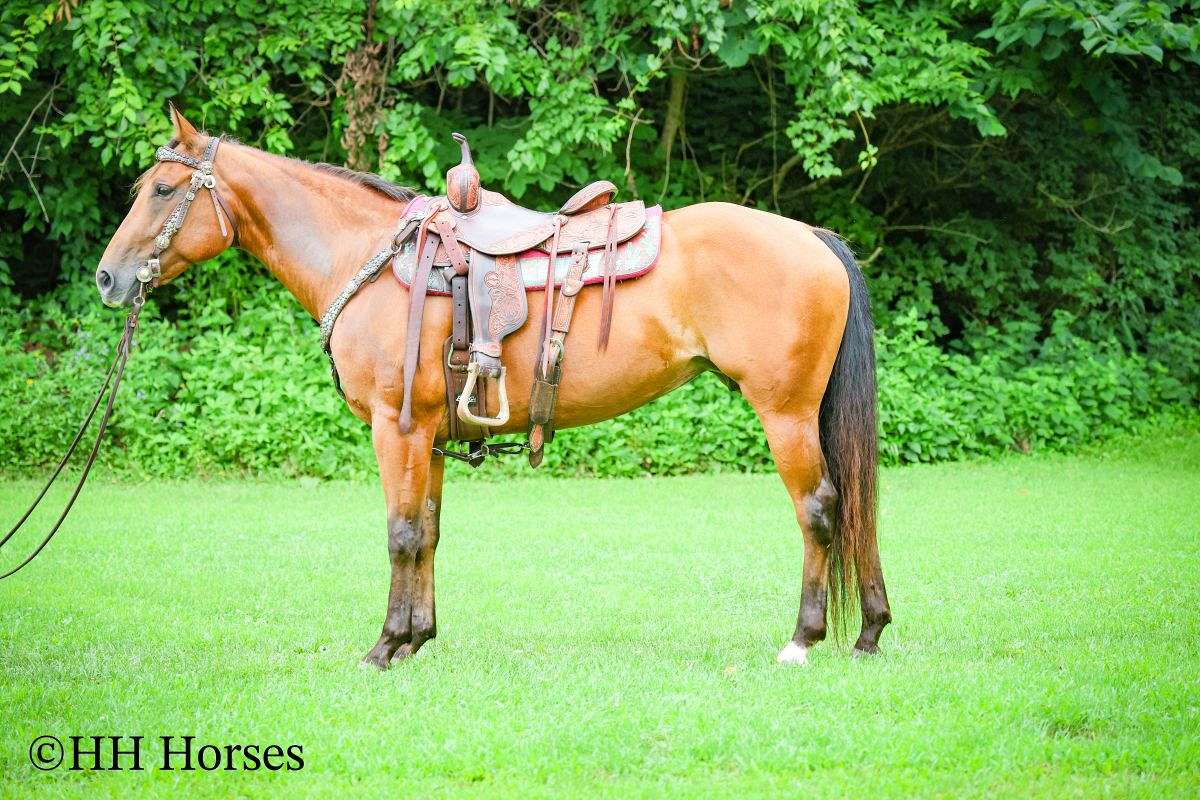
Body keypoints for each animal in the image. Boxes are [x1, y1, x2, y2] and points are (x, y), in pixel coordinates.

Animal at [95, 107, 891, 668]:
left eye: (161, 190)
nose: (108, 278)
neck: (368, 259)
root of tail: (811, 236)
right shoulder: (431, 435)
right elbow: (429, 531)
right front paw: (417, 637)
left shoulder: (396, 428)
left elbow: (400, 532)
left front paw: (384, 647)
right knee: (855, 508)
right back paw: (869, 630)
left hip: (785, 414)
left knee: (820, 510)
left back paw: (802, 640)